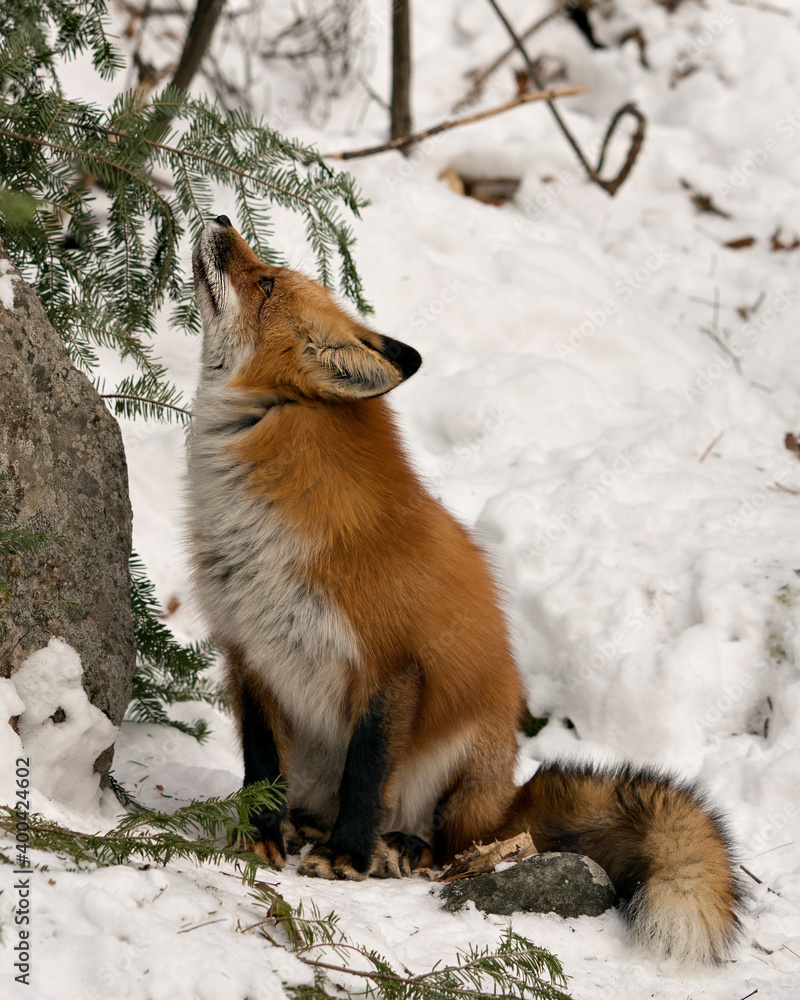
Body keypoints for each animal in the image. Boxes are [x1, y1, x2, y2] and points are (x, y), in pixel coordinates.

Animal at [188, 216, 745, 965]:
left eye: (267, 281)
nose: (219, 218)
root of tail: (506, 797)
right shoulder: (250, 653)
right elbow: (259, 766)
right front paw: (260, 837)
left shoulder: (390, 664)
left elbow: (365, 774)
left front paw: (346, 860)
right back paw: (308, 829)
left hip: (460, 765)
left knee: (459, 844)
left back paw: (397, 848)